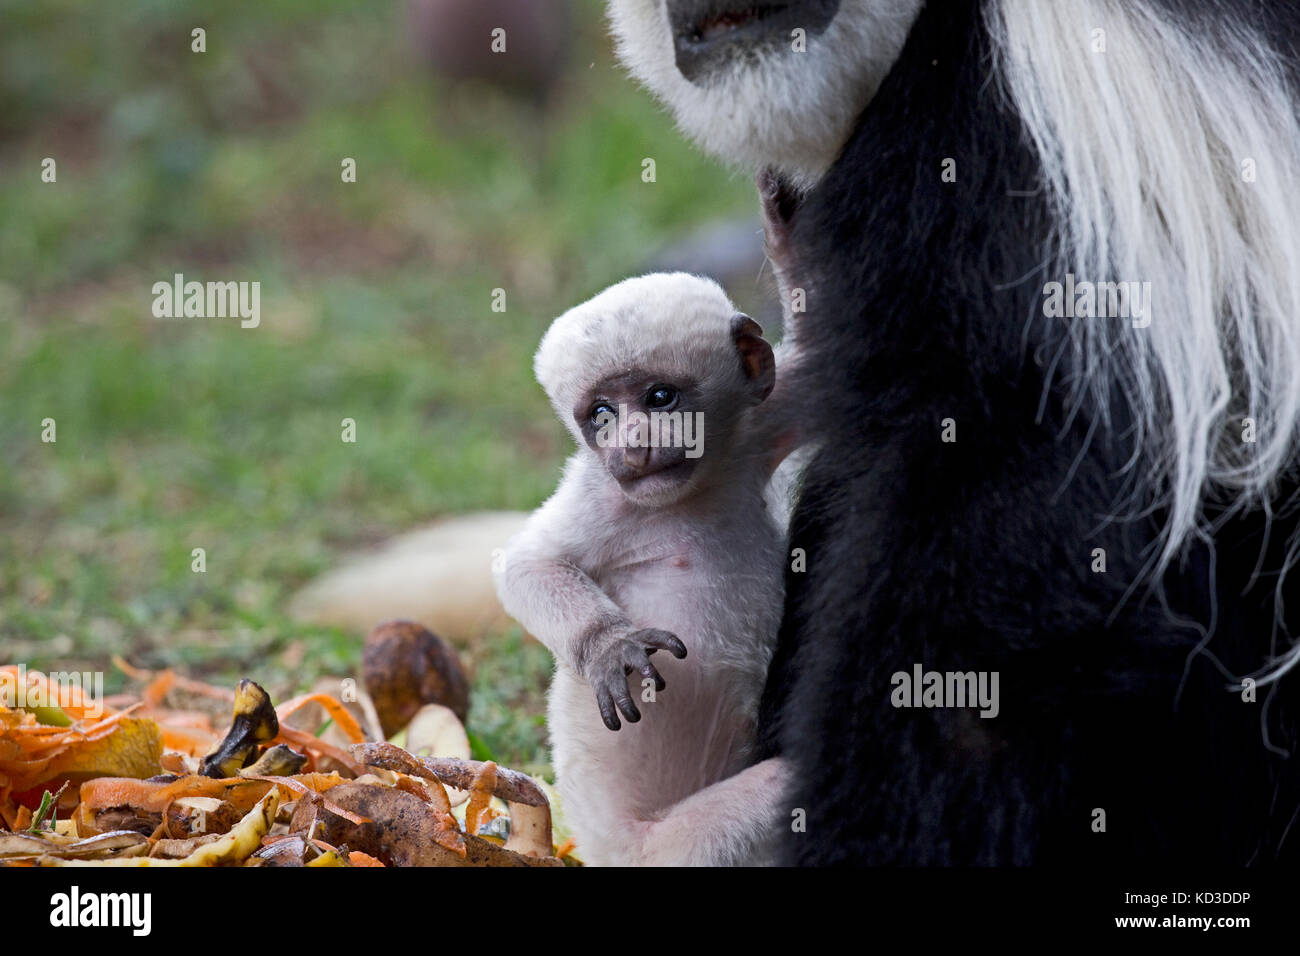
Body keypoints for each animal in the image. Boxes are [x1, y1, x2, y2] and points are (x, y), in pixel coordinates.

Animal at [493, 272, 797, 866]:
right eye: (602, 415)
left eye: (660, 398)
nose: (632, 446)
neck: (693, 496)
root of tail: (596, 849)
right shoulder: (605, 495)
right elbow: (527, 565)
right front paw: (613, 648)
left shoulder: (756, 432)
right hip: (672, 849)